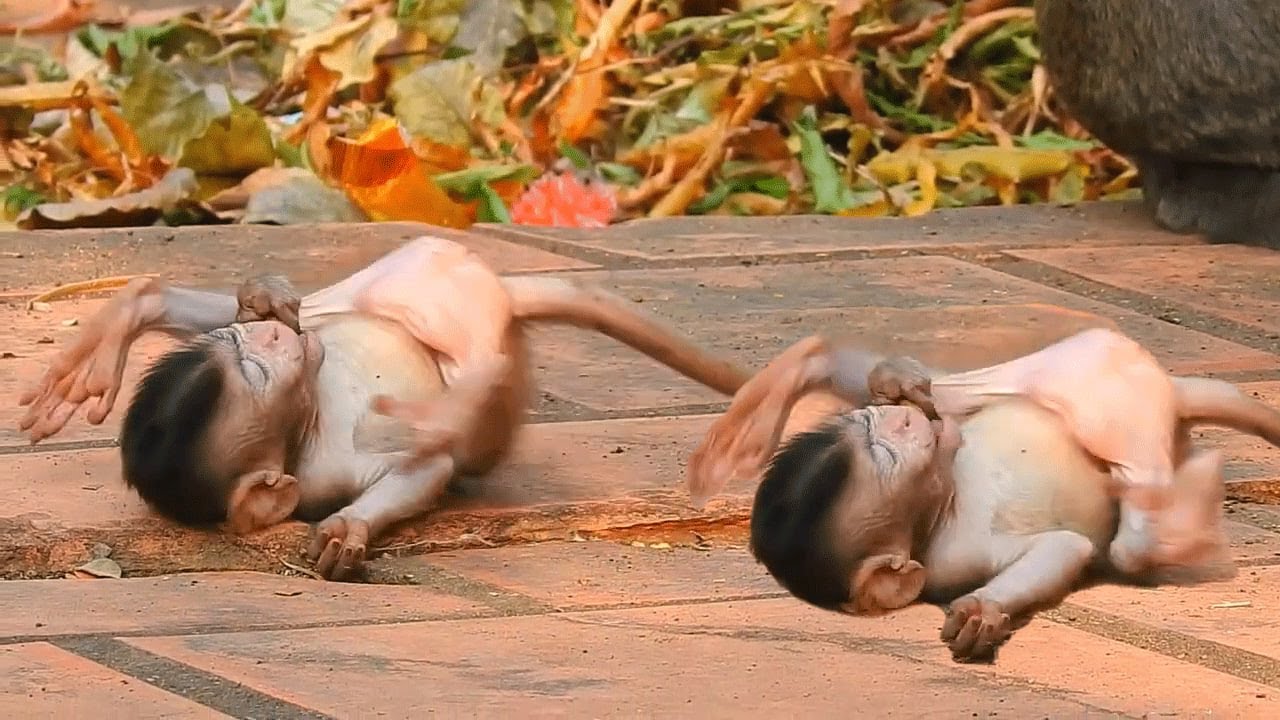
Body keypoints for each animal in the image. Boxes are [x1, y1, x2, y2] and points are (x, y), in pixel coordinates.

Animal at [18, 236, 751, 581]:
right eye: (255, 369)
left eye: (247, 350)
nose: (272, 336)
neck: (312, 410)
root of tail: (502, 295)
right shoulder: (323, 466)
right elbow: (422, 469)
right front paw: (352, 525)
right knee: (469, 382)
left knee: (350, 303)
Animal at [686, 328, 1280, 662]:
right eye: (888, 453)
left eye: (879, 426)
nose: (903, 418)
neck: (947, 495)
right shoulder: (951, 556)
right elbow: (1063, 546)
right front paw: (984, 609)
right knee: (1131, 540)